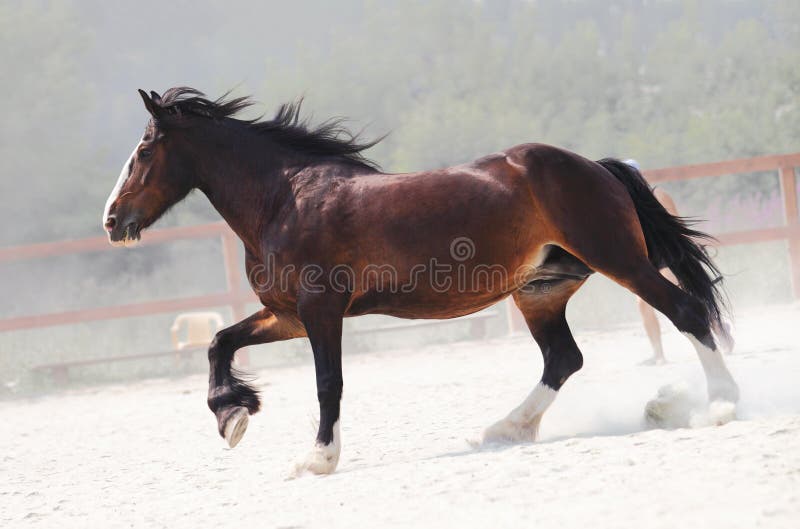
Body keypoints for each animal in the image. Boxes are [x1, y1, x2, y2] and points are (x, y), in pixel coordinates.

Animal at [102, 87, 739, 475]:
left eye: (144, 151)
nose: (111, 220)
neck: (285, 198)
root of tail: (597, 167)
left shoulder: (319, 311)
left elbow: (328, 384)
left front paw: (318, 459)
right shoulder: (285, 314)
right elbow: (219, 343)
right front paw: (232, 415)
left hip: (619, 261)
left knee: (684, 313)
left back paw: (720, 406)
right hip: (540, 290)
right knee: (564, 358)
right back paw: (504, 430)